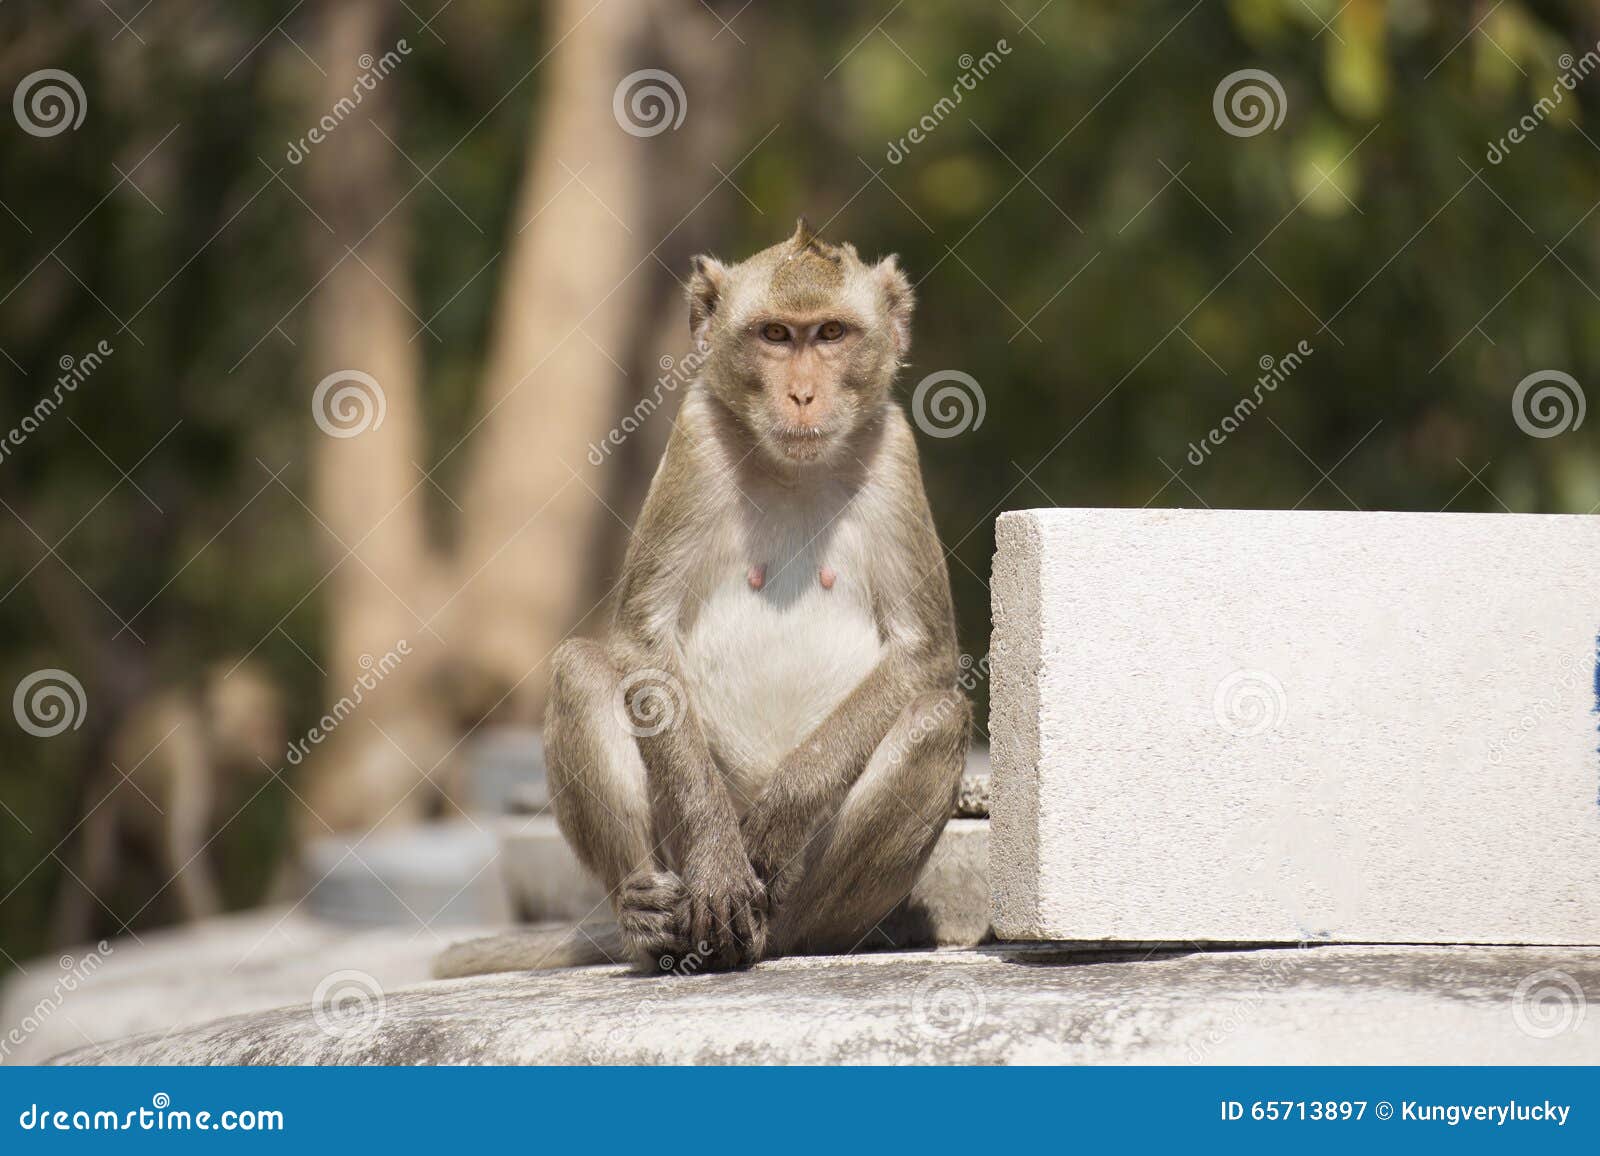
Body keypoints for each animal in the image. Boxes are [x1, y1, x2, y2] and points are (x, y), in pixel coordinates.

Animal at [52, 662, 285, 946]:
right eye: (257, 723)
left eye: (272, 720)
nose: (273, 739)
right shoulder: (182, 757)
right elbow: (182, 844)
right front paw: (209, 923)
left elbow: (214, 843)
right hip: (100, 801)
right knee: (98, 869)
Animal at [435, 219, 970, 978]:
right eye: (775, 334)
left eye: (831, 332)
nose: (802, 395)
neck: (791, 467)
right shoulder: (697, 439)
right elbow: (642, 636)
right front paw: (719, 855)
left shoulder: (895, 451)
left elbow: (924, 656)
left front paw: (779, 813)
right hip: (671, 855)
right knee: (581, 670)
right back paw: (649, 923)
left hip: (798, 892)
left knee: (935, 719)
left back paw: (790, 931)